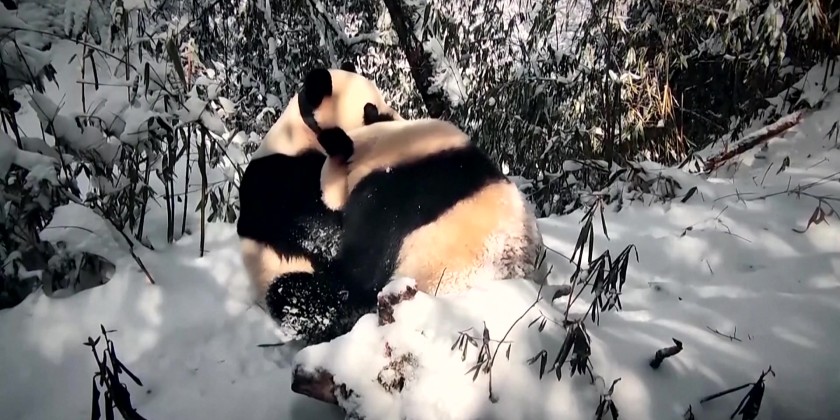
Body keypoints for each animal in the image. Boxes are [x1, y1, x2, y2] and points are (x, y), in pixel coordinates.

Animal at [236, 62, 400, 340]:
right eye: (370, 107)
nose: (398, 122)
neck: (305, 133)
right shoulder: (275, 177)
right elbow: (312, 223)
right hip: (279, 272)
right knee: (296, 297)